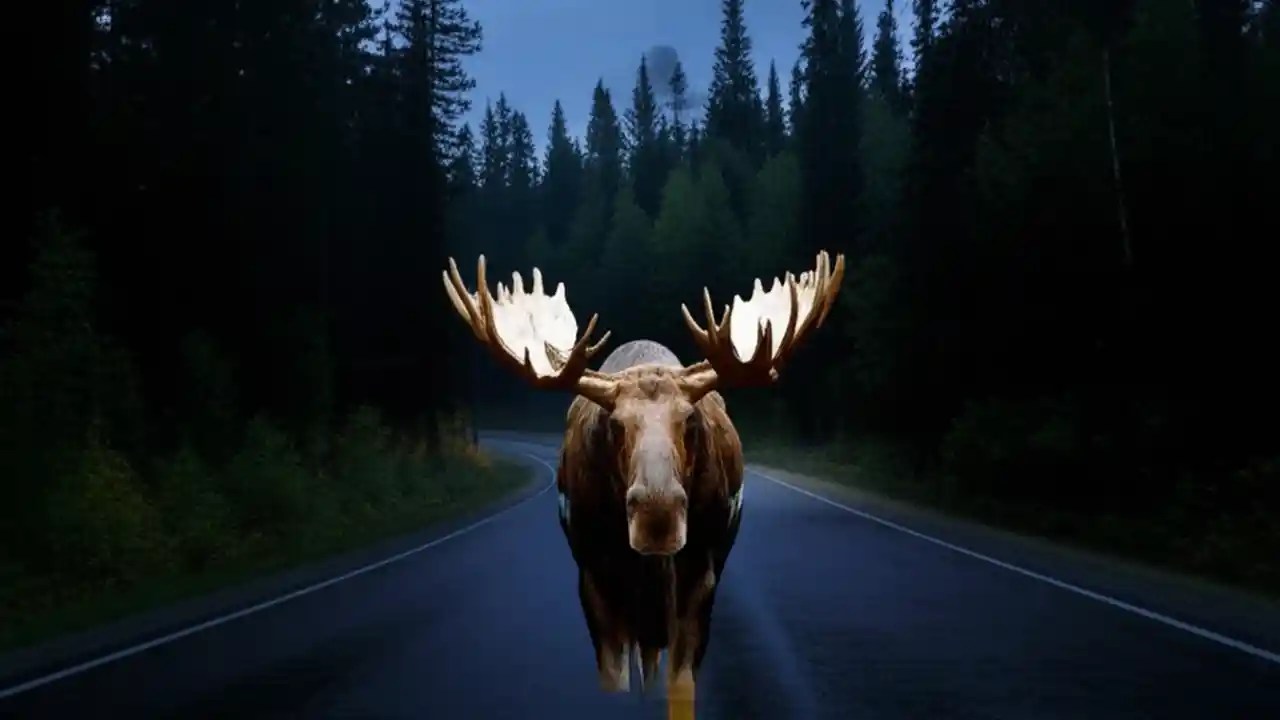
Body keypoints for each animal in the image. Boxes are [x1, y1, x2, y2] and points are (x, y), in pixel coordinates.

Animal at [442, 250, 845, 720]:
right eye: (614, 424)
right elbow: (613, 675)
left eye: (689, 420)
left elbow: (682, 683)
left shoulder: (700, 575)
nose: (657, 514)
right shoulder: (593, 574)